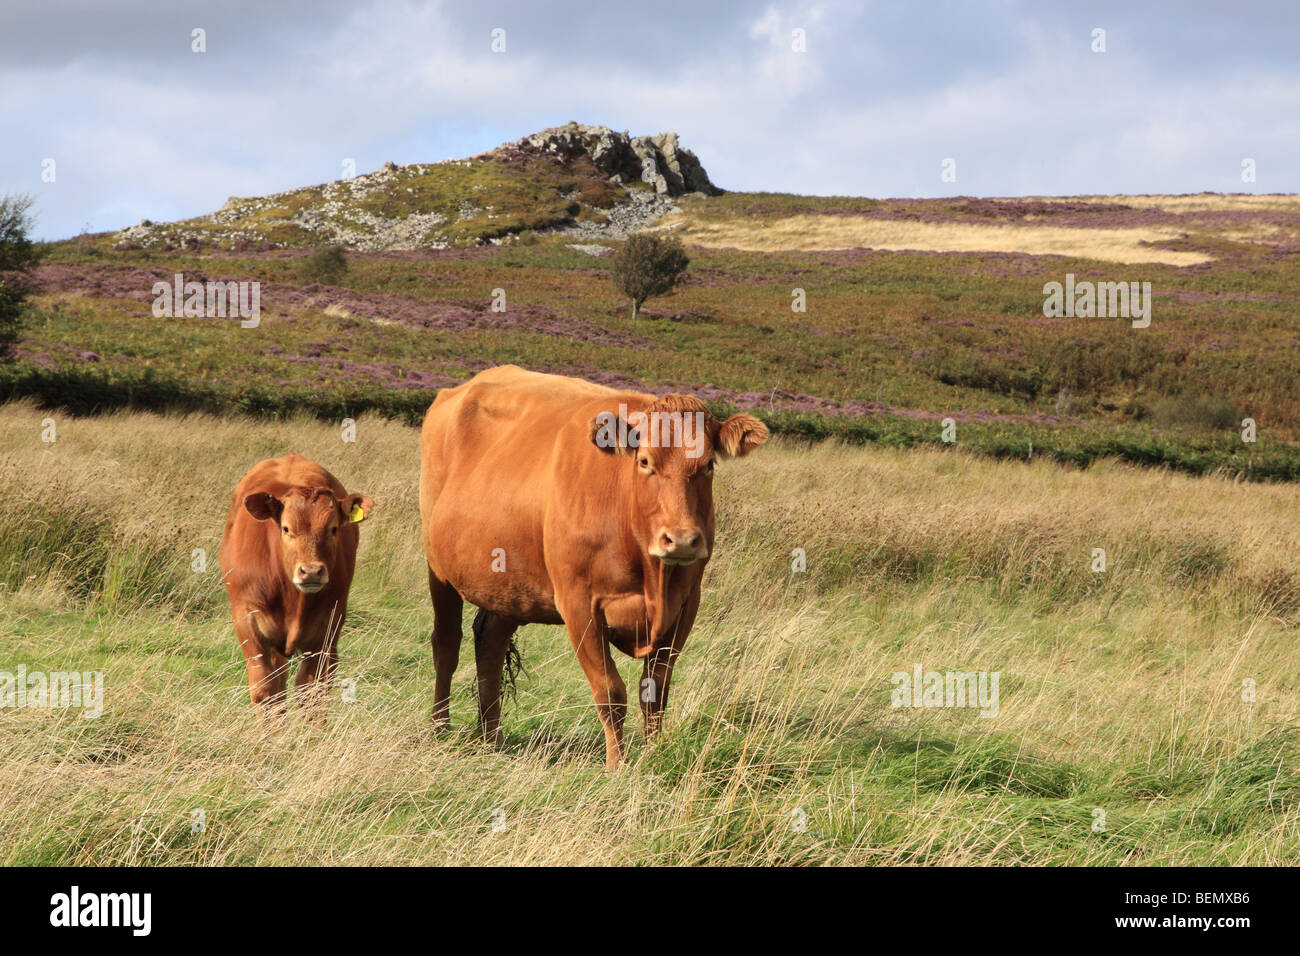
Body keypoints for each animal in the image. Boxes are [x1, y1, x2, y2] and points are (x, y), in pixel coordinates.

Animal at [218, 453, 374, 720]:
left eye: (333, 529)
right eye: (286, 528)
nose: (311, 571)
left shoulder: (327, 629)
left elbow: (313, 693)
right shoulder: (247, 621)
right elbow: (266, 691)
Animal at [419, 365, 768, 770]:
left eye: (708, 464)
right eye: (645, 461)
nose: (681, 540)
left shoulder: (685, 603)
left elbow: (656, 690)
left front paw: (654, 756)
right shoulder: (579, 604)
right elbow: (610, 691)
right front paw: (617, 766)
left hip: (509, 582)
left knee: (489, 641)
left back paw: (492, 736)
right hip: (439, 569)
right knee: (447, 642)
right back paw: (439, 728)